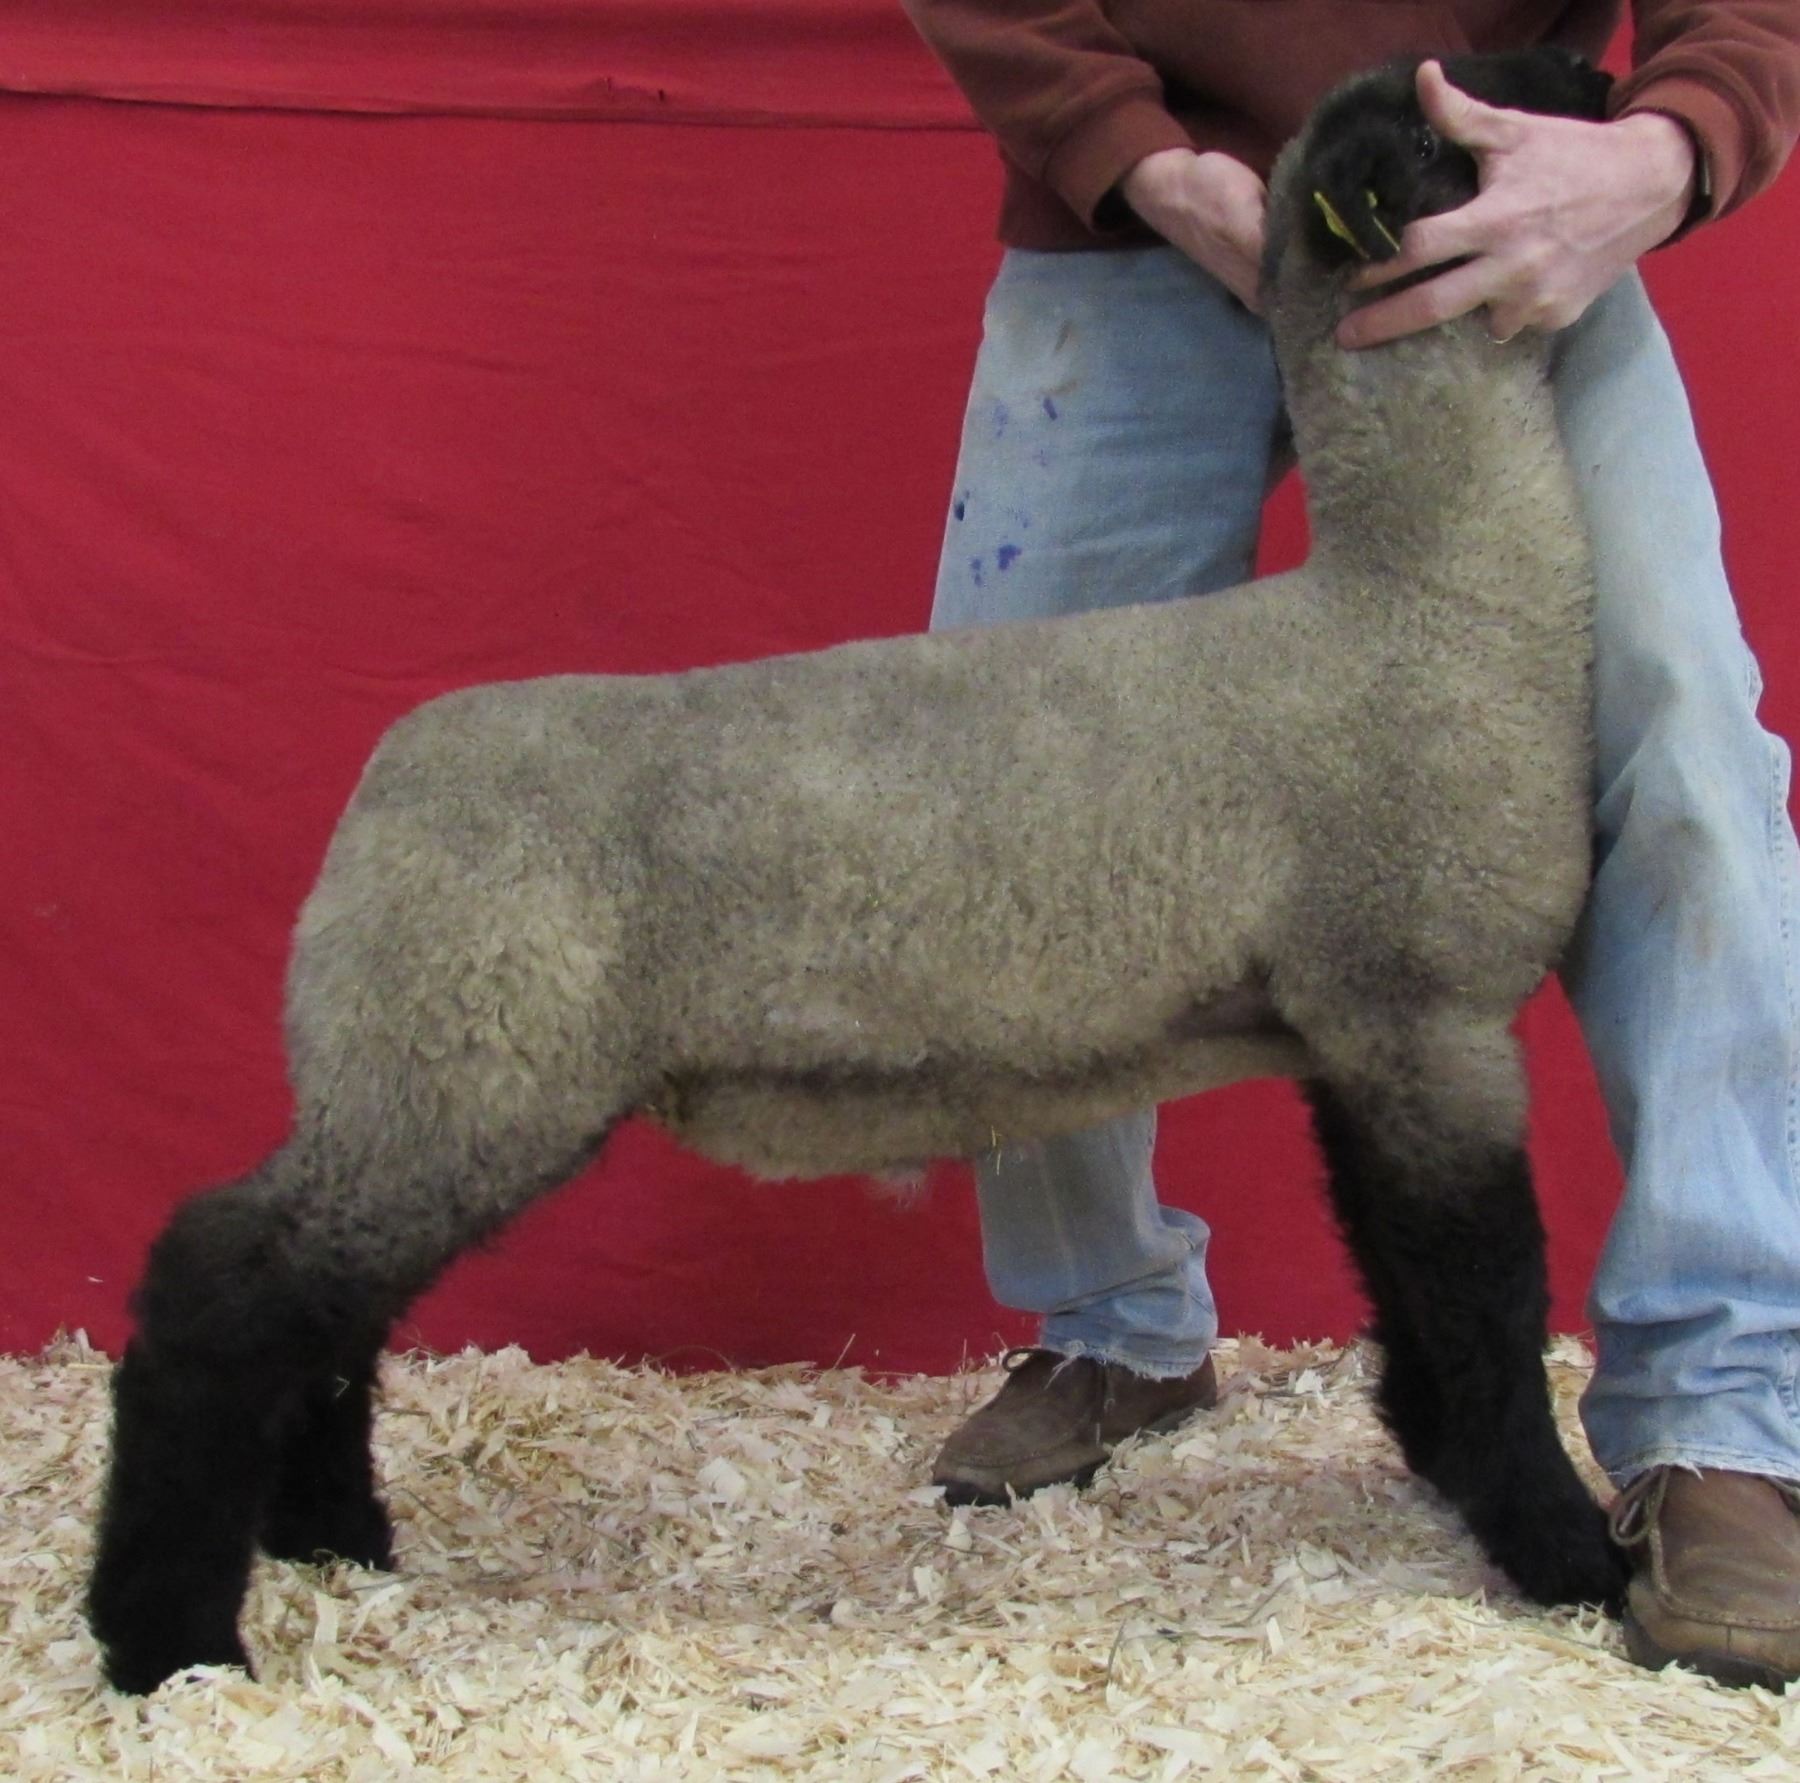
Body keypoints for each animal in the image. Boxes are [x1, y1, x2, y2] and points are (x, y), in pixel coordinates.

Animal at [87, 48, 1629, 1694]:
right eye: (1448, 110)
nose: (1602, 76)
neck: (1421, 600)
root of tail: (387, 777)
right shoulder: (1428, 1009)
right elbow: (1486, 1299)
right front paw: (1571, 1551)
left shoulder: (1354, 1031)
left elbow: (1413, 1293)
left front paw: (1462, 1484)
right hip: (462, 1056)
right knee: (221, 1285)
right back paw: (166, 1639)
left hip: (439, 1069)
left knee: (327, 1310)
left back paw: (333, 1539)